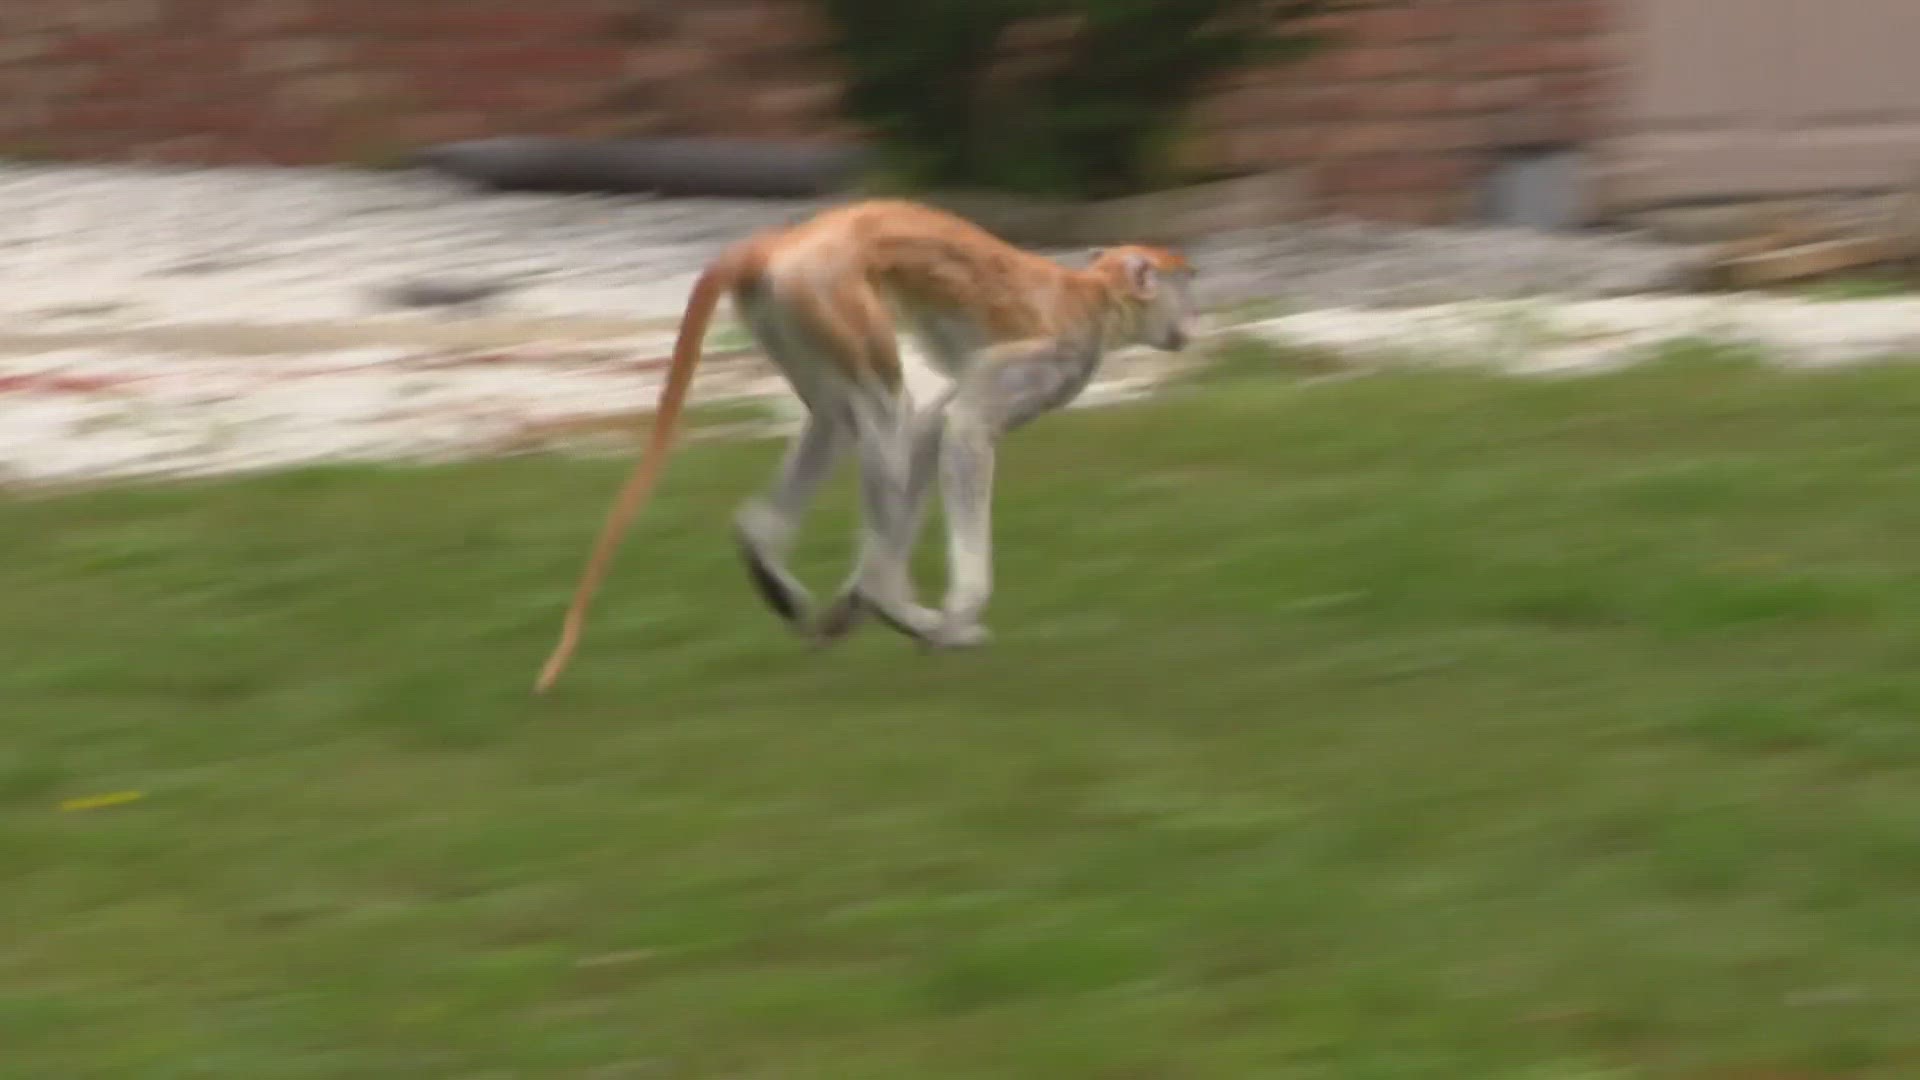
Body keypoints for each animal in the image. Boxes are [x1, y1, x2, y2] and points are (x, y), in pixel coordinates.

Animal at [534, 198, 1198, 694]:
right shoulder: (1053, 357)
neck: (1093, 296)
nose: (1193, 317)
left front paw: (853, 611)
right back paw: (891, 600)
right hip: (830, 296)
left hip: (787, 312)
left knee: (839, 417)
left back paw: (770, 553)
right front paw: (948, 620)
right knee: (884, 411)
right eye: (1186, 280)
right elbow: (963, 428)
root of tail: (781, 246)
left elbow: (933, 426)